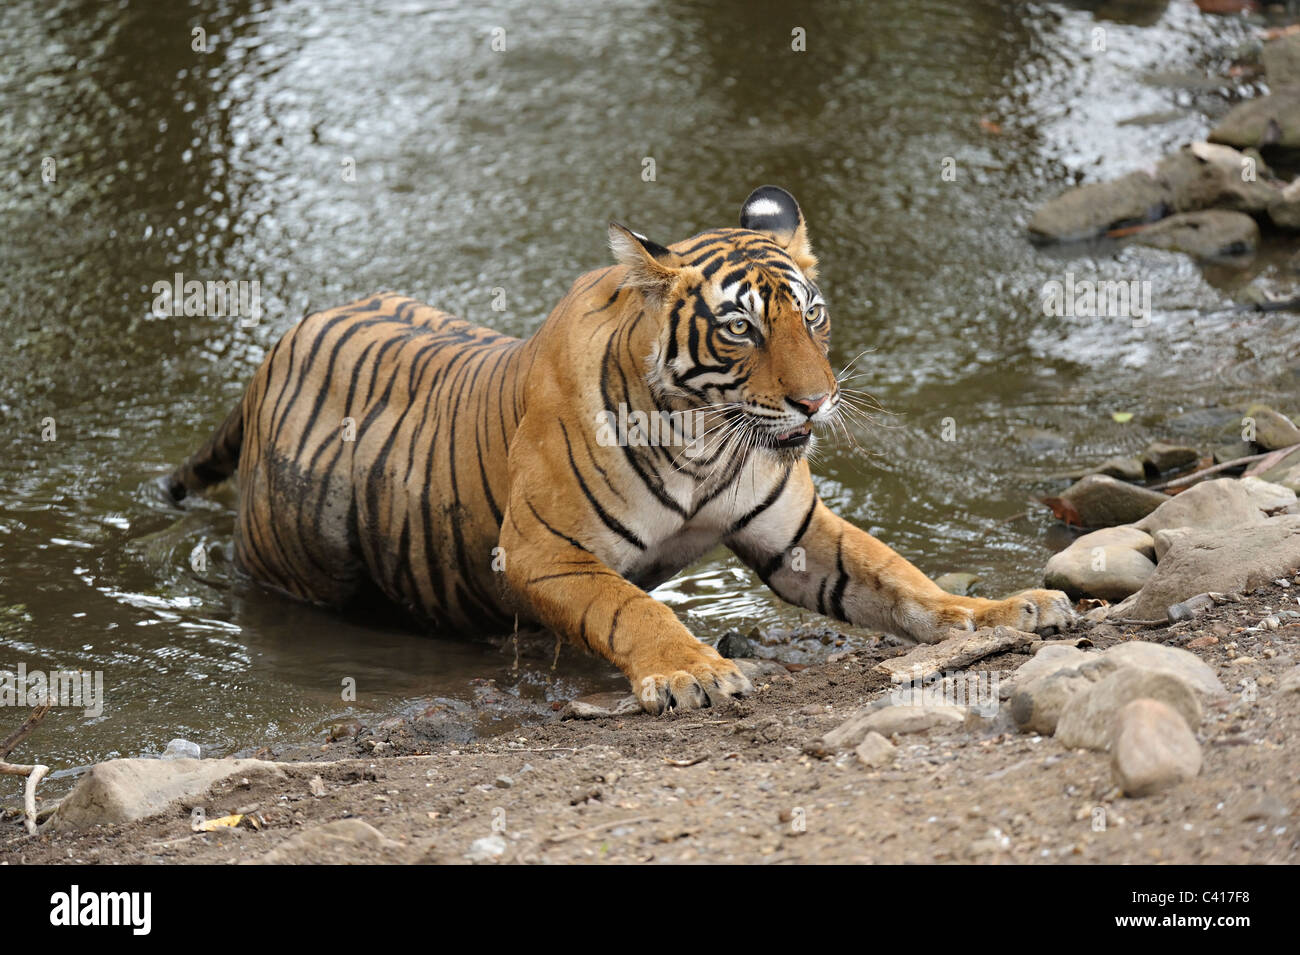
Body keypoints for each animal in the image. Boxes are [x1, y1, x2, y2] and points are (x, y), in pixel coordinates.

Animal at [165, 186, 1074, 713]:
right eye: (741, 328)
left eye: (811, 315)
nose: (818, 400)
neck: (706, 436)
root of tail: (279, 345)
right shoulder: (543, 550)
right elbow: (631, 607)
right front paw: (692, 670)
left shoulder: (798, 535)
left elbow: (899, 577)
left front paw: (1004, 608)